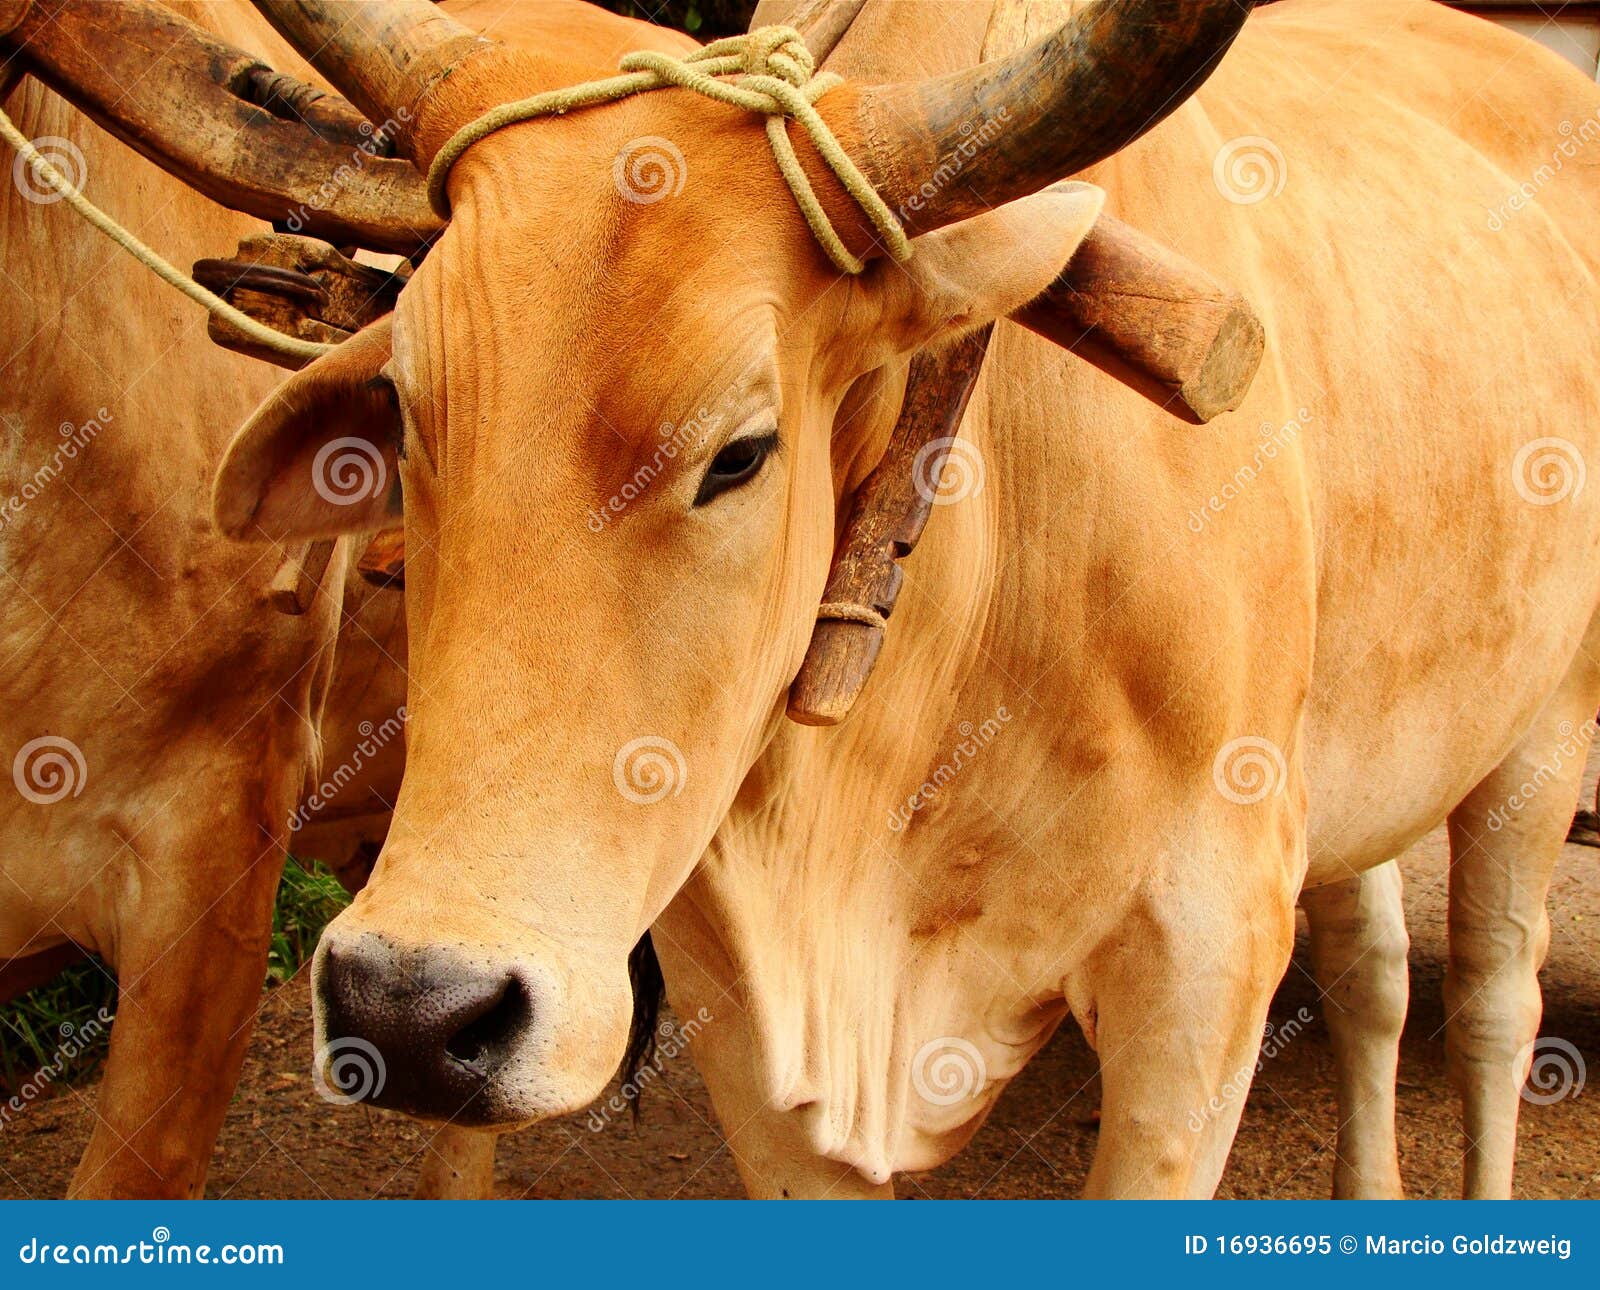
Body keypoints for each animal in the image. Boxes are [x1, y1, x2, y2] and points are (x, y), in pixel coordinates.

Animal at [210, 0, 1598, 1199]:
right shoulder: (744, 1018)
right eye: (405, 412)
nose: (410, 1011)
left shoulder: (1200, 976)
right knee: (1373, 976)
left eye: (740, 453)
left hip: (1544, 734)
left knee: (1495, 1000)